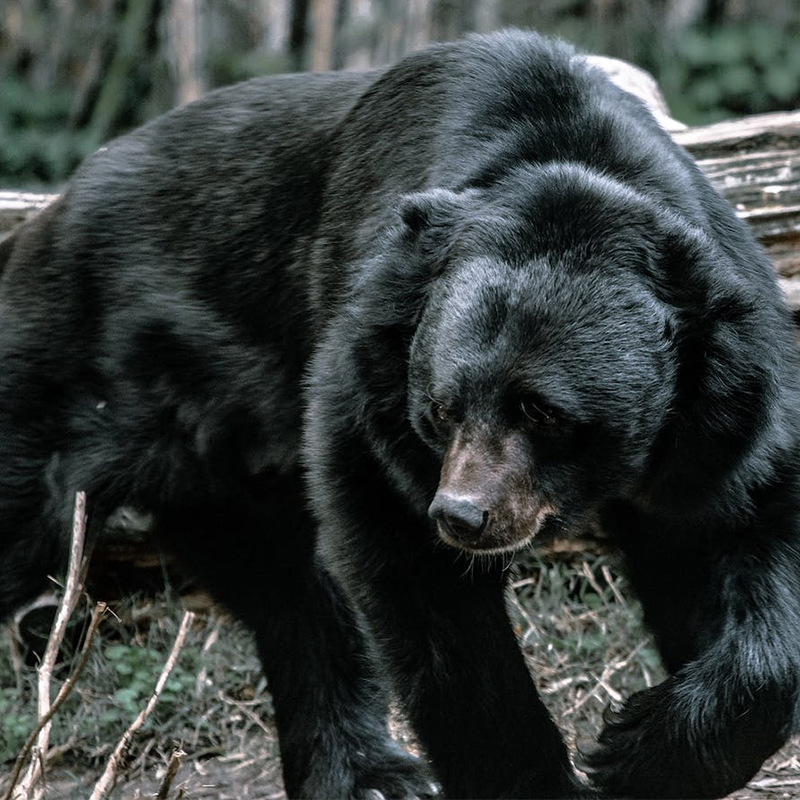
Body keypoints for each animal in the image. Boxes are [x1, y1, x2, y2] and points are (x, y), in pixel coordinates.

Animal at [2, 28, 800, 799]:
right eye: (442, 408)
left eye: (543, 412)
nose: (463, 516)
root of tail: (48, 217)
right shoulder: (369, 381)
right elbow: (424, 595)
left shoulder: (726, 413)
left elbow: (747, 532)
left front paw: (642, 748)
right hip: (66, 380)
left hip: (221, 471)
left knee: (289, 592)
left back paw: (366, 775)